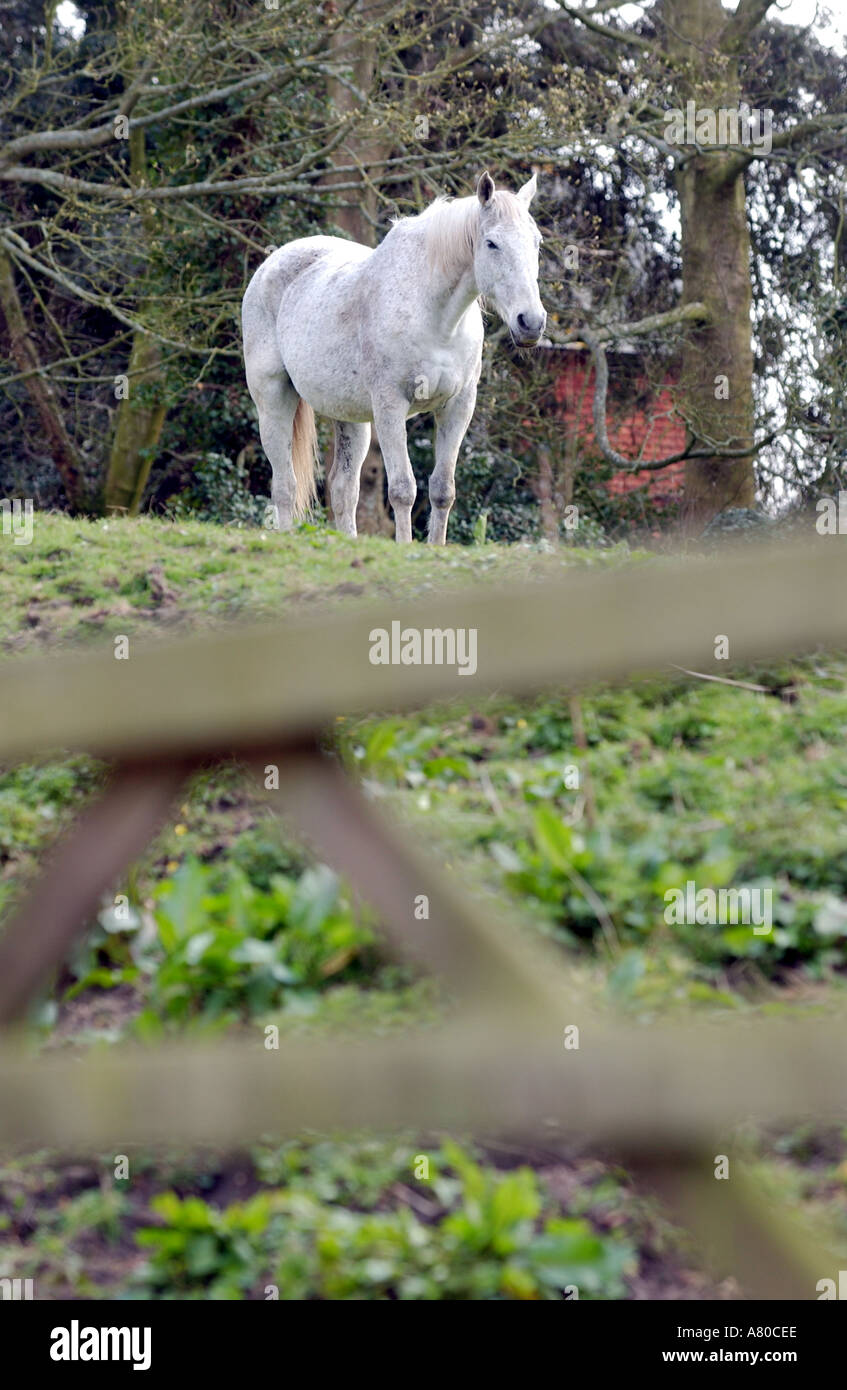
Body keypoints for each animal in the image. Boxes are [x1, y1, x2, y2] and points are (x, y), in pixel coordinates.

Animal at [241, 170, 546, 544]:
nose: (531, 322)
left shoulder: (458, 406)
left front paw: (435, 548)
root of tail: (271, 264)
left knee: (343, 490)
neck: (436, 316)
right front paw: (404, 546)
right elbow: (403, 490)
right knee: (285, 485)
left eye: (537, 242)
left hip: (351, 418)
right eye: (491, 244)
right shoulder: (391, 406)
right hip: (274, 401)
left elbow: (442, 490)